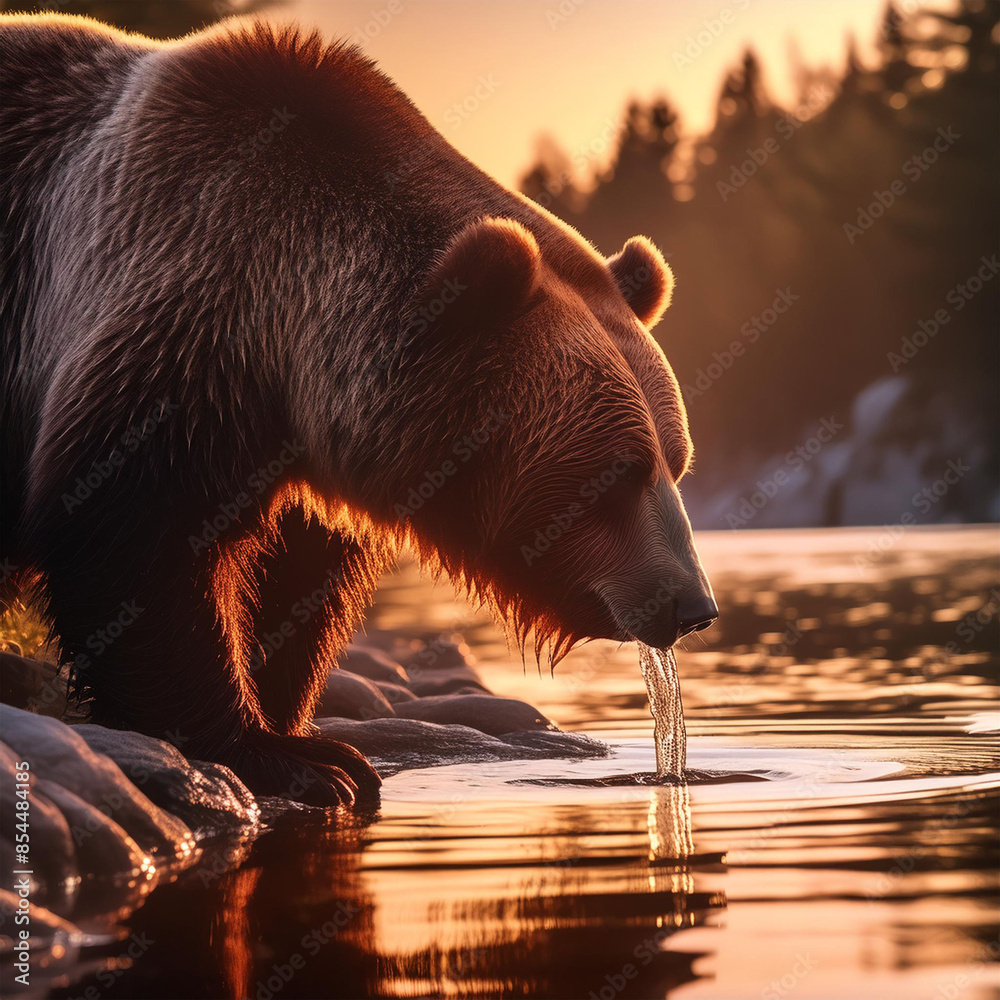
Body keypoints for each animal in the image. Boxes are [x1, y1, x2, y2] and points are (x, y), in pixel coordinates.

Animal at [0, 15, 718, 806]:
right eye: (620, 472)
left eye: (675, 462)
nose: (690, 606)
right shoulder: (172, 331)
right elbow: (139, 546)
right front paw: (287, 755)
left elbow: (293, 586)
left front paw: (292, 727)